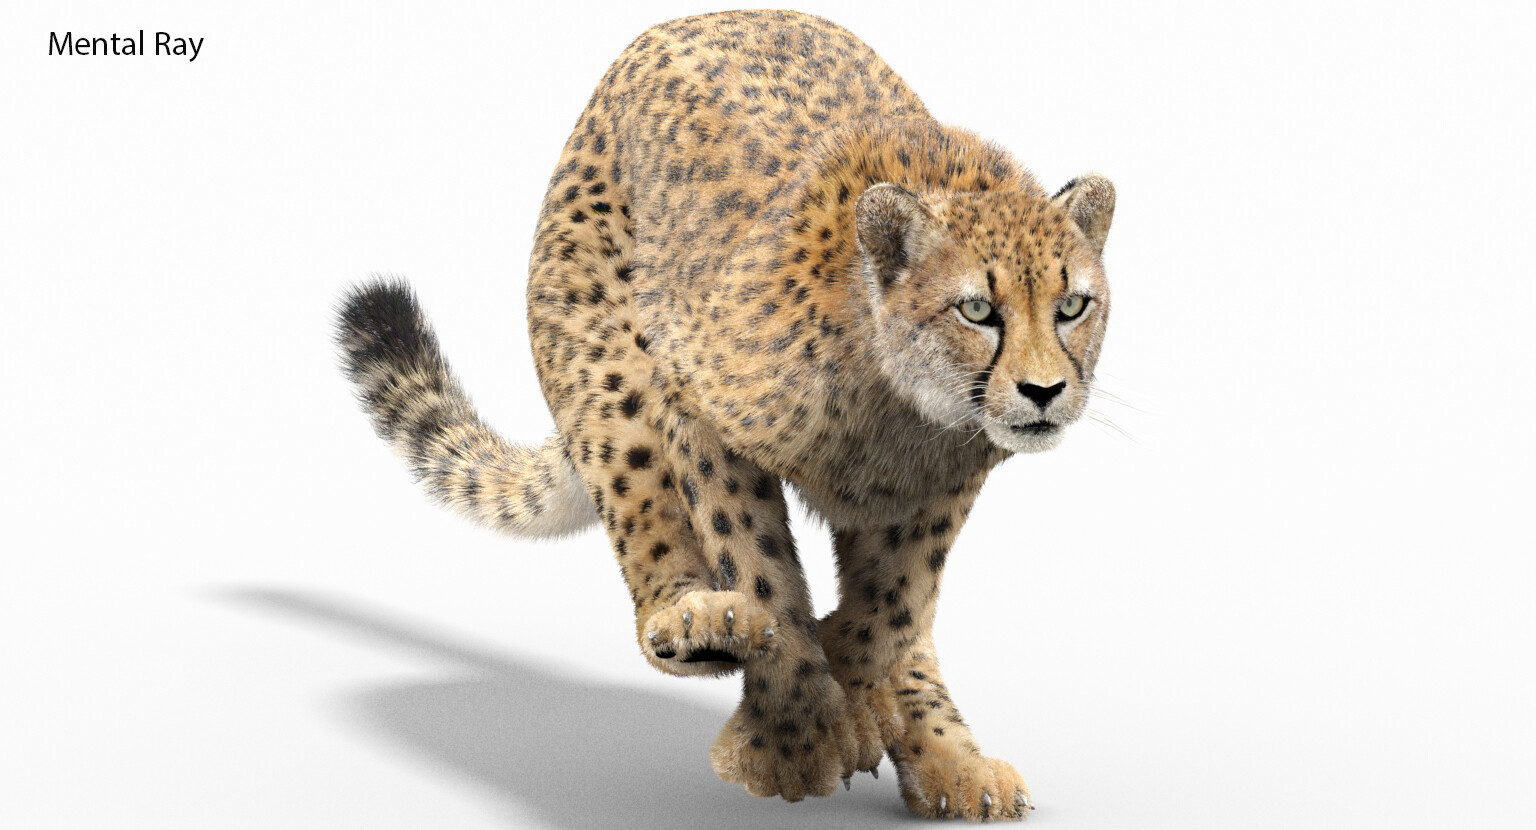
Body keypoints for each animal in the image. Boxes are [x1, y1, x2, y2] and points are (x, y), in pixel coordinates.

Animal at [335, 9, 1114, 822]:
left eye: (1073, 305)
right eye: (977, 310)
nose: (1045, 391)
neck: (897, 406)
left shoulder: (939, 484)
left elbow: (897, 605)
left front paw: (865, 689)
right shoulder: (693, 404)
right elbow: (759, 562)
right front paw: (798, 734)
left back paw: (950, 757)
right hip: (610, 372)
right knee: (645, 525)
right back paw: (695, 623)